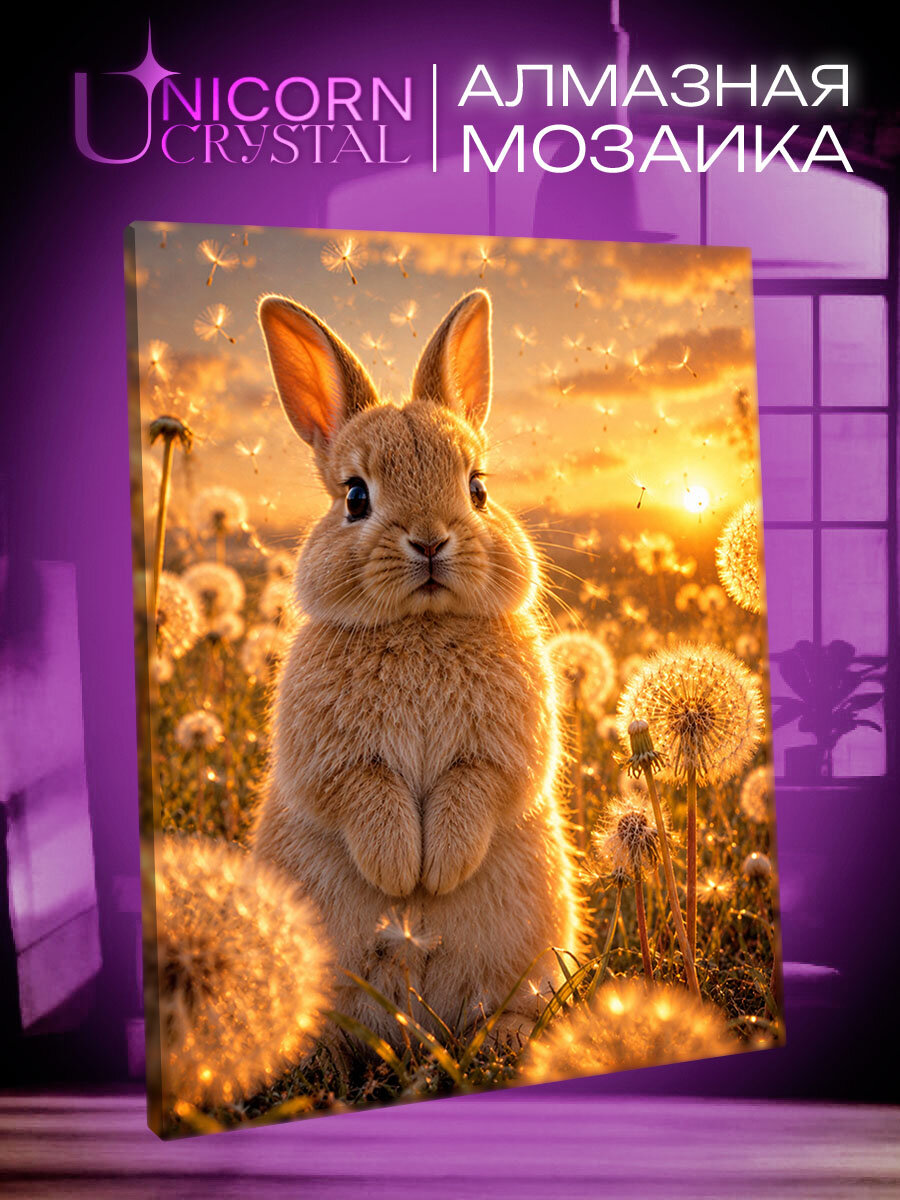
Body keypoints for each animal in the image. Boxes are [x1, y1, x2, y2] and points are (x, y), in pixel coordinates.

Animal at [252, 287, 584, 1050]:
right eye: (355, 497)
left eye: (479, 489)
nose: (430, 540)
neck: (422, 627)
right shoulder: (331, 762)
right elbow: (365, 795)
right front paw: (404, 875)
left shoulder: (504, 753)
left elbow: (477, 787)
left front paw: (441, 869)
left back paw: (502, 1036)